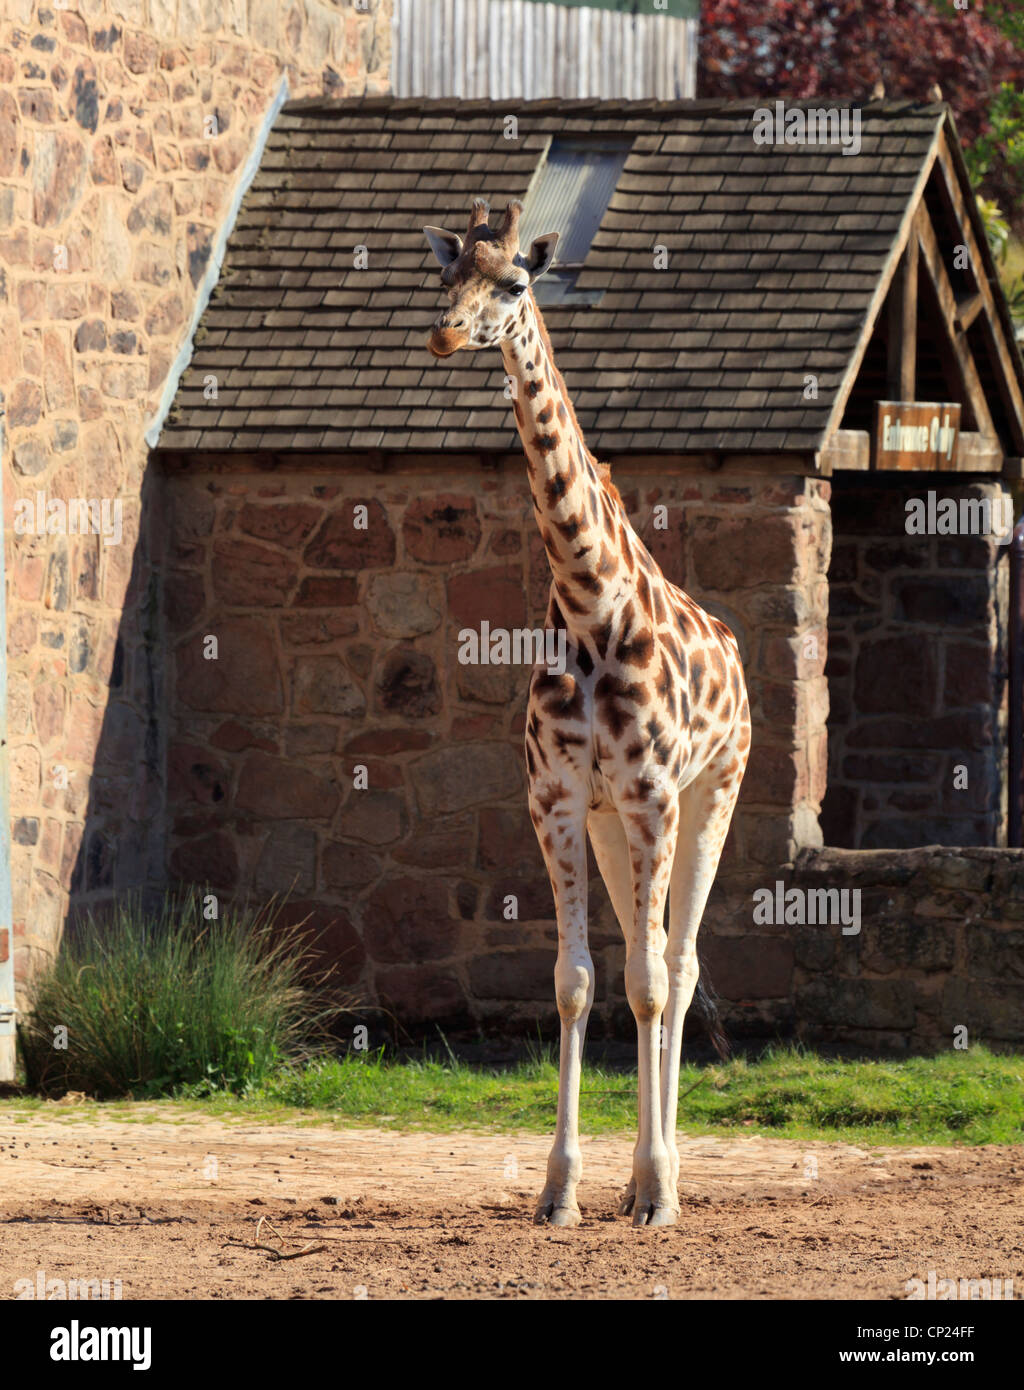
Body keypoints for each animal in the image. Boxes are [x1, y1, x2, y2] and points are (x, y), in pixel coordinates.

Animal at [424, 200, 750, 1228]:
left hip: (713, 797)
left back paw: (666, 1177)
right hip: (614, 826)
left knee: (679, 970)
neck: (590, 601)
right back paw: (637, 1178)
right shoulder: (561, 802)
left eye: (516, 282)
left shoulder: (655, 797)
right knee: (649, 963)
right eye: (447, 275)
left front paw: (657, 1191)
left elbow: (647, 984)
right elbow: (575, 984)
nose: (448, 333)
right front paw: (560, 1189)